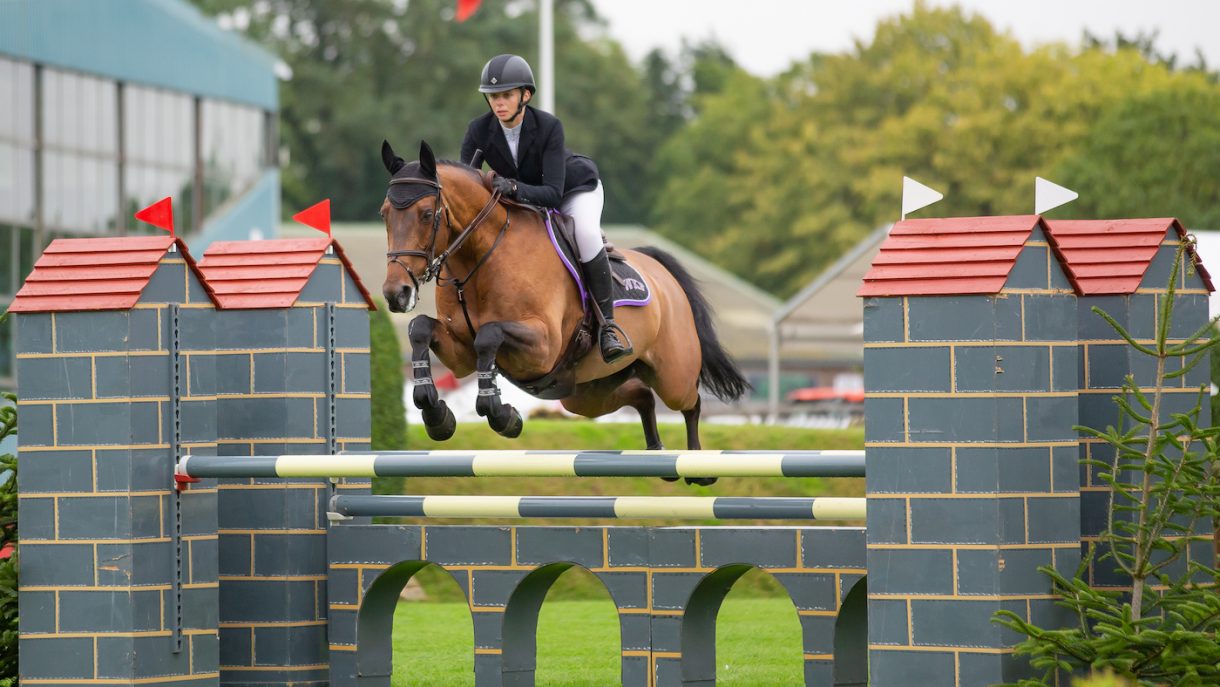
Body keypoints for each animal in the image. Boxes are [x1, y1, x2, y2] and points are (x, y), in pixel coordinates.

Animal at [379, 140, 748, 467]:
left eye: (427, 214)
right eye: (384, 214)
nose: (396, 293)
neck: (479, 259)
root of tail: (661, 272)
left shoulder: (543, 346)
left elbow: (489, 334)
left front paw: (502, 415)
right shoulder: (461, 356)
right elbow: (420, 328)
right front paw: (436, 414)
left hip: (672, 376)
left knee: (691, 402)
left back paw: (697, 467)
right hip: (584, 394)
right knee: (641, 395)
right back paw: (657, 453)